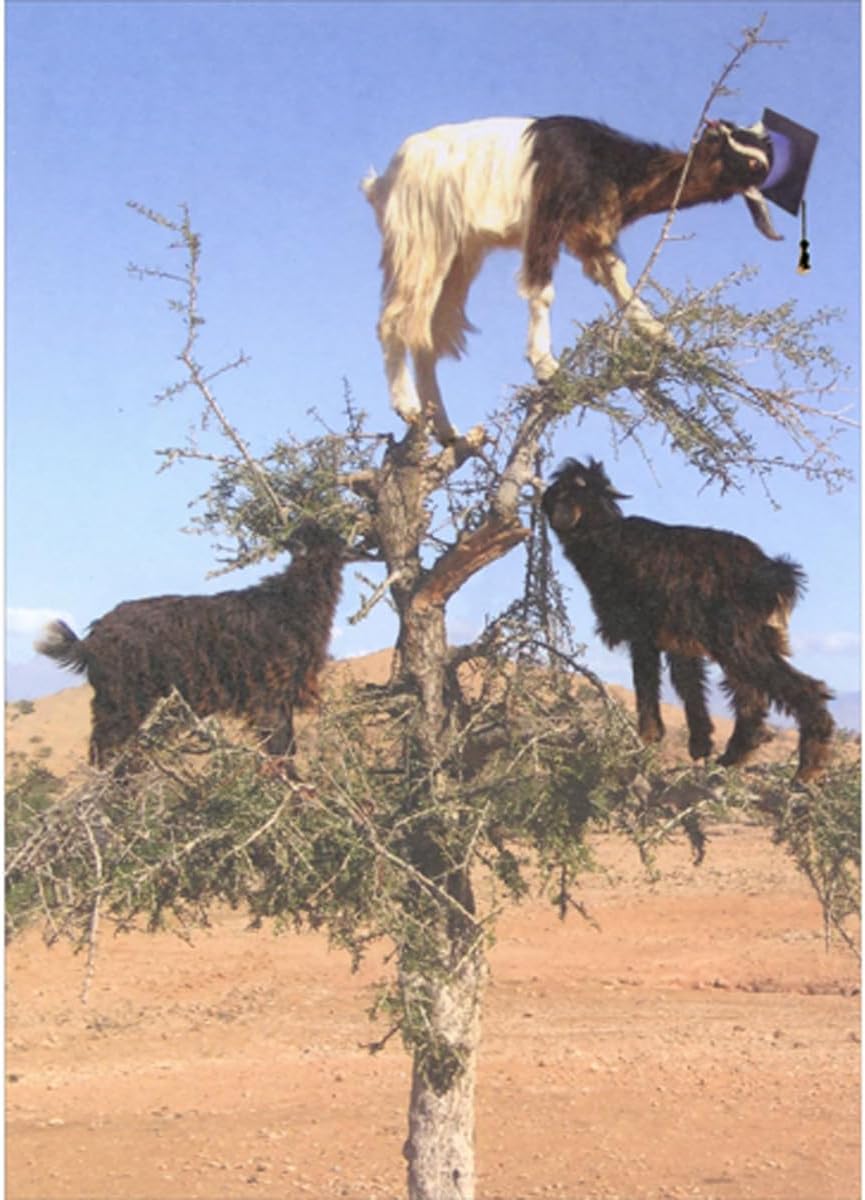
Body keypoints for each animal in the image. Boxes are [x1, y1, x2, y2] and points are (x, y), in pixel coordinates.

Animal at [35, 521, 346, 766]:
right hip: (121, 702)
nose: (349, 542)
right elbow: (280, 749)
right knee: (105, 751)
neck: (288, 602)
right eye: (326, 539)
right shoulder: (268, 694)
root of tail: (90, 640)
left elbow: (287, 746)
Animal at [362, 115, 780, 443]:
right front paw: (545, 365)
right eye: (738, 151)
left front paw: (658, 334)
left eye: (761, 158)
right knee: (396, 319)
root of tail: (385, 179)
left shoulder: (588, 232)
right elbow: (542, 290)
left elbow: (615, 275)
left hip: (459, 254)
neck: (613, 164)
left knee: (425, 334)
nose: (760, 181)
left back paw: (445, 429)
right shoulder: (548, 218)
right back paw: (409, 406)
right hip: (423, 239)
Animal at [541, 458, 833, 783]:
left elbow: (647, 684)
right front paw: (700, 745)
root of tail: (774, 572)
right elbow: (688, 686)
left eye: (566, 488)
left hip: (736, 639)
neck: (607, 539)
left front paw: (648, 740)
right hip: (750, 638)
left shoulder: (644, 634)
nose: (544, 500)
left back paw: (806, 770)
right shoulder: (678, 641)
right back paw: (732, 758)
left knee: (796, 690)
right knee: (752, 698)